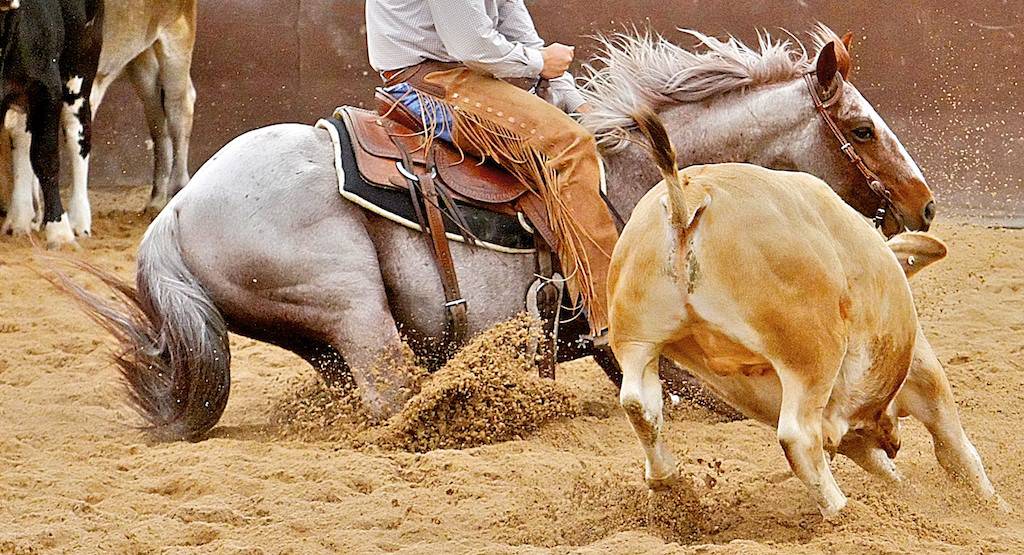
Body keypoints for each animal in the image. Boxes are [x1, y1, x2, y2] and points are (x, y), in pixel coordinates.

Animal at [0, 0, 196, 242]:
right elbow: (22, 136)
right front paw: (24, 218)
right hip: (142, 58)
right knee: (157, 118)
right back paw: (156, 200)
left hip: (174, 36)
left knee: (178, 107)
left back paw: (175, 191)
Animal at [66, 26, 937, 440]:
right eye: (862, 128)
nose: (926, 205)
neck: (643, 180)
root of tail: (173, 216)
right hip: (351, 304)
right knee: (393, 404)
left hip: (324, 335)